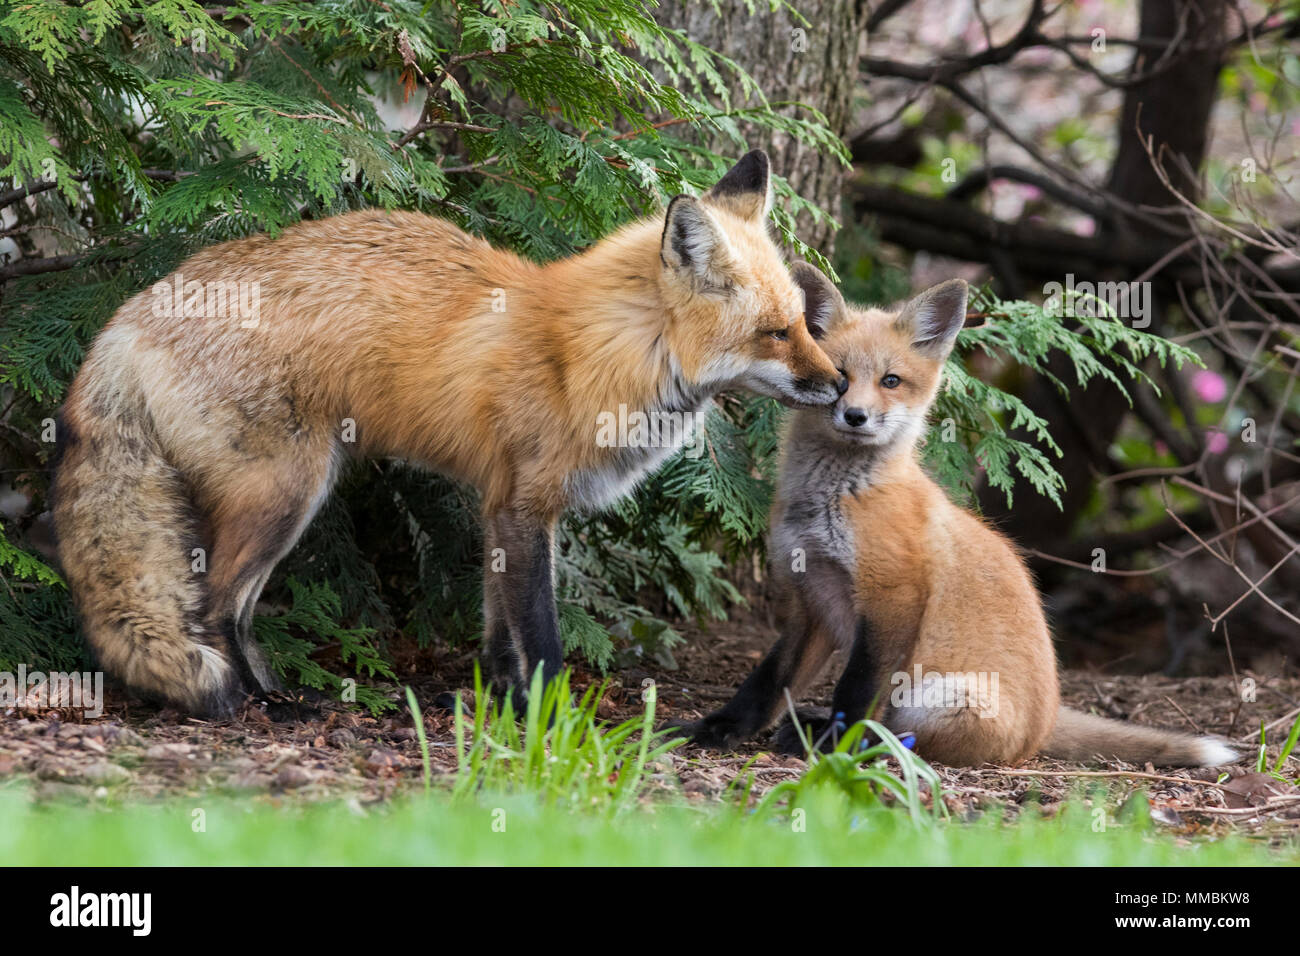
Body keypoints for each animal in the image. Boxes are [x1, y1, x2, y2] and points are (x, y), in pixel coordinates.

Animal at [50, 150, 846, 718]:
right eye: (776, 334)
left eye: (803, 322)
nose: (840, 383)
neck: (593, 353)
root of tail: (127, 319)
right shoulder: (527, 508)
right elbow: (543, 635)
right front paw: (554, 721)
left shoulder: (497, 505)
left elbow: (498, 635)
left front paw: (501, 705)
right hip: (285, 493)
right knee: (218, 606)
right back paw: (262, 708)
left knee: (228, 608)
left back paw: (274, 696)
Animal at [672, 268, 1239, 767]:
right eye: (840, 378)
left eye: (891, 380)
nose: (855, 416)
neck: (834, 500)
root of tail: (1046, 723)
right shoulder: (811, 599)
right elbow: (767, 682)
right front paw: (717, 729)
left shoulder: (893, 596)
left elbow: (855, 690)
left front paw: (836, 746)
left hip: (944, 696)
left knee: (903, 735)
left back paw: (836, 740)